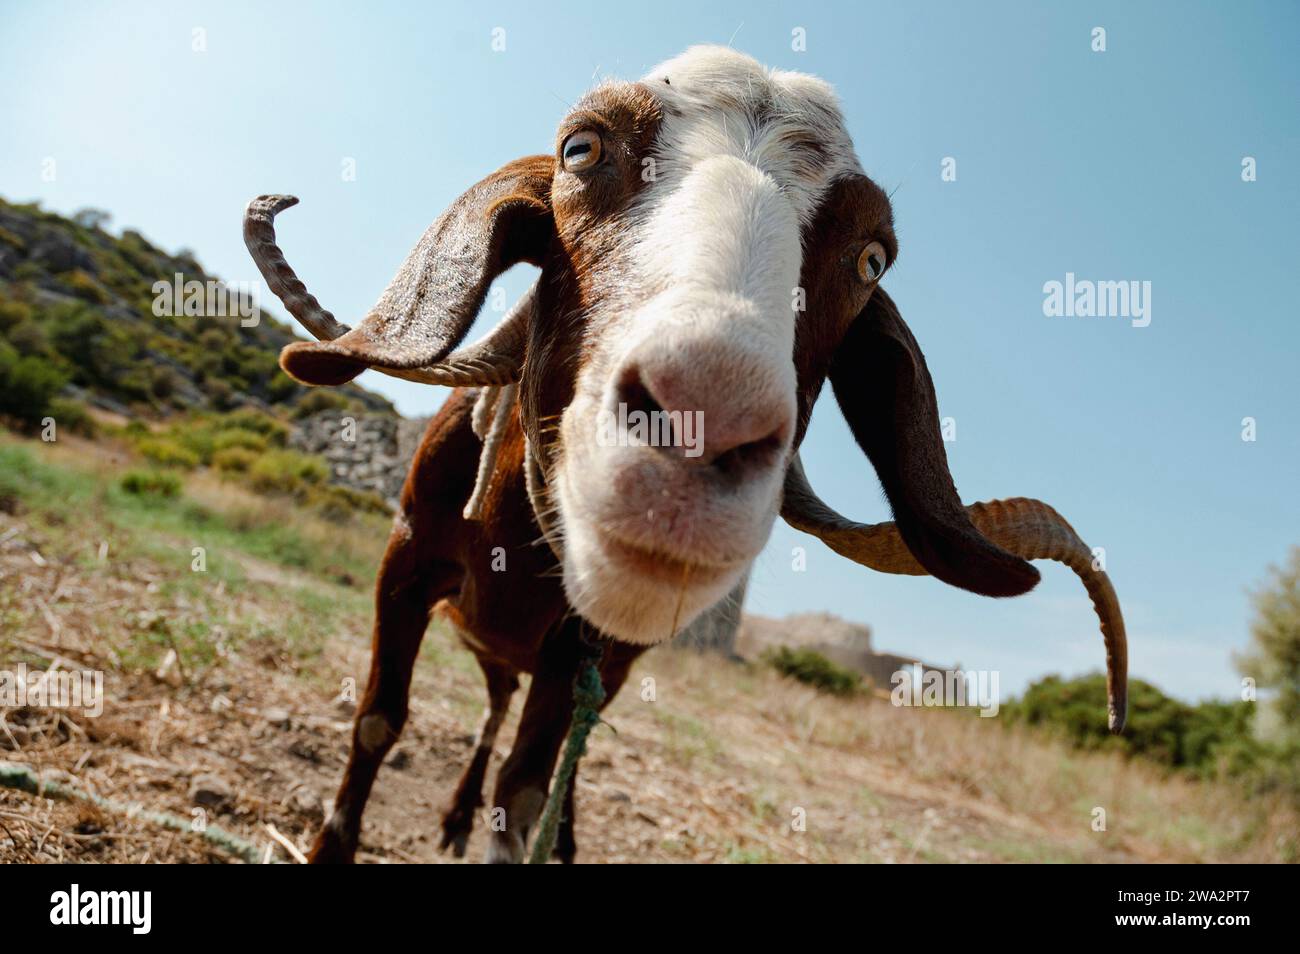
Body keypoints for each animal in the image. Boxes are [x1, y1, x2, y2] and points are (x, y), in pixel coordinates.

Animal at [244, 46, 1127, 864]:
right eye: (580, 149)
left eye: (872, 258)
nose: (705, 424)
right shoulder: (408, 557)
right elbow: (377, 721)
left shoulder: (583, 653)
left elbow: (524, 791)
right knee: (492, 707)